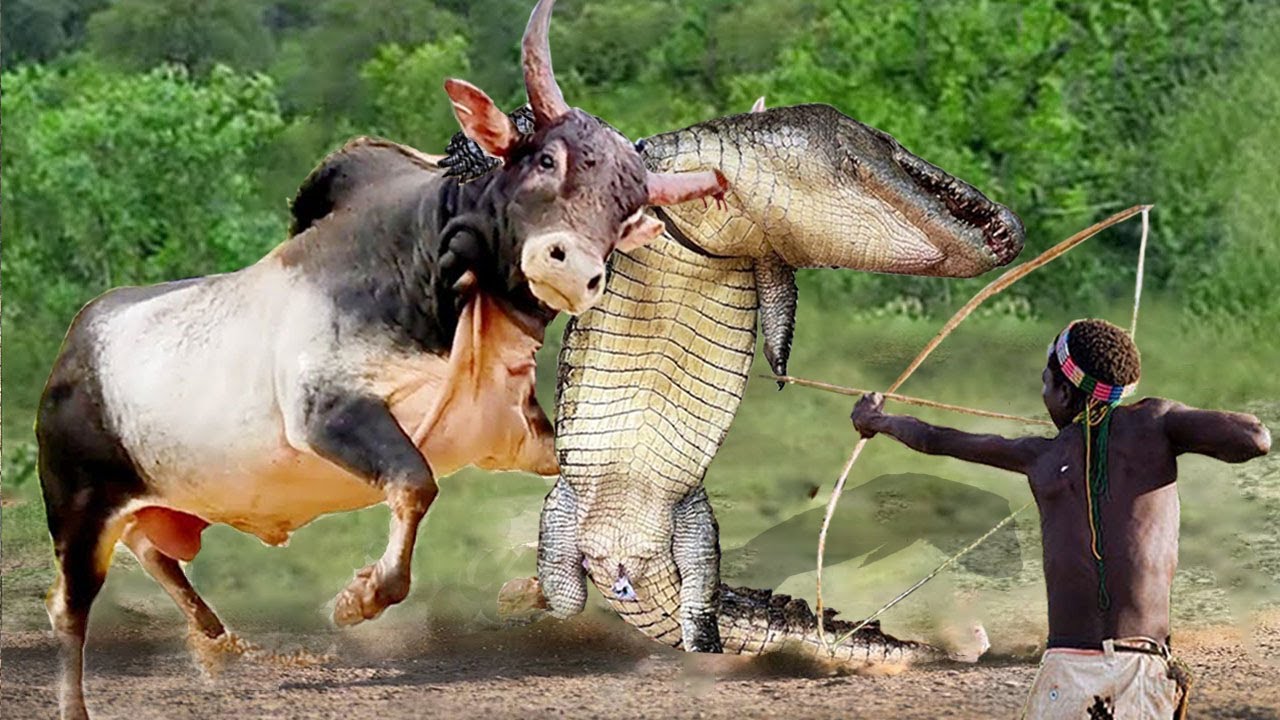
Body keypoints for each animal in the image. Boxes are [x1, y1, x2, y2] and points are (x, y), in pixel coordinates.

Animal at [33, 1, 728, 717]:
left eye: (627, 211)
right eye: (544, 159)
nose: (574, 270)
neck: (434, 284)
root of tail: (72, 346)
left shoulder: (511, 434)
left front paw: (531, 590)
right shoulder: (331, 413)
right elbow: (416, 484)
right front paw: (359, 598)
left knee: (153, 553)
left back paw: (216, 639)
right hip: (79, 512)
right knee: (70, 610)